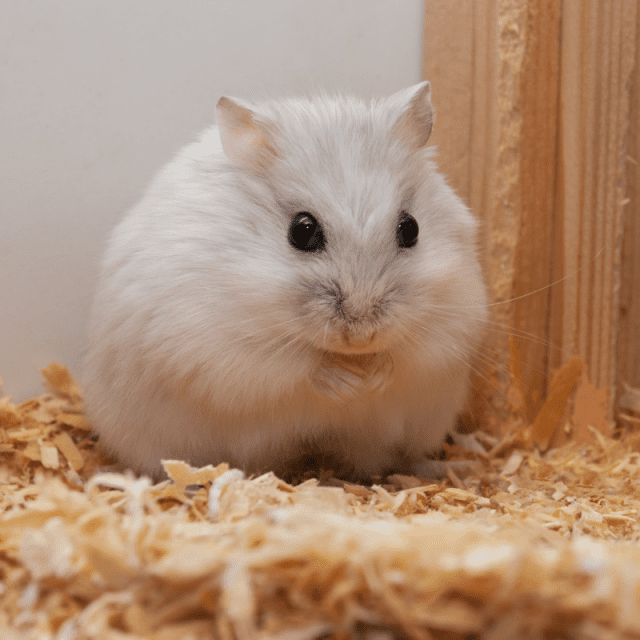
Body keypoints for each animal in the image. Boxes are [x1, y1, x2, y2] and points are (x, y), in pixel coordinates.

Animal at [82, 82, 487, 481]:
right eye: (302, 231)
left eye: (411, 228)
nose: (361, 338)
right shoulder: (210, 345)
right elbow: (295, 368)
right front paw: (349, 381)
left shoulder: (454, 321)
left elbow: (408, 356)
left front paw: (373, 375)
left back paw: (450, 468)